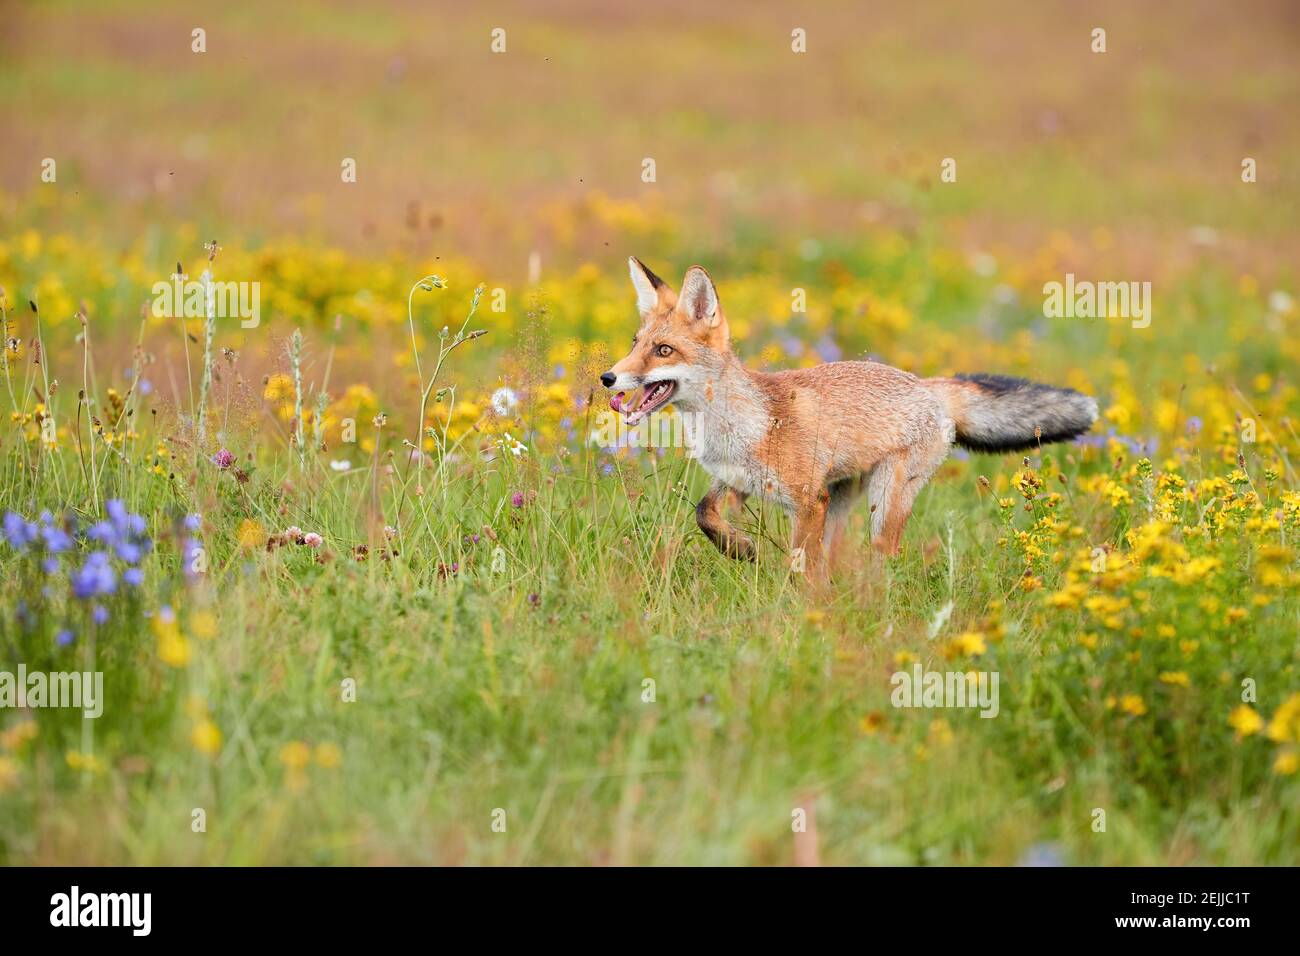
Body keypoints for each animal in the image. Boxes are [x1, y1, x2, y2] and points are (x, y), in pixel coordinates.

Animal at [600, 257, 1099, 579]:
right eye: (635, 343)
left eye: (664, 351)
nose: (608, 378)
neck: (742, 423)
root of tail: (929, 384)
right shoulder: (738, 483)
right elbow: (704, 513)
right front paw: (741, 550)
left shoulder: (807, 500)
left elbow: (800, 564)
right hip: (841, 500)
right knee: (838, 557)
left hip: (882, 503)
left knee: (881, 559)